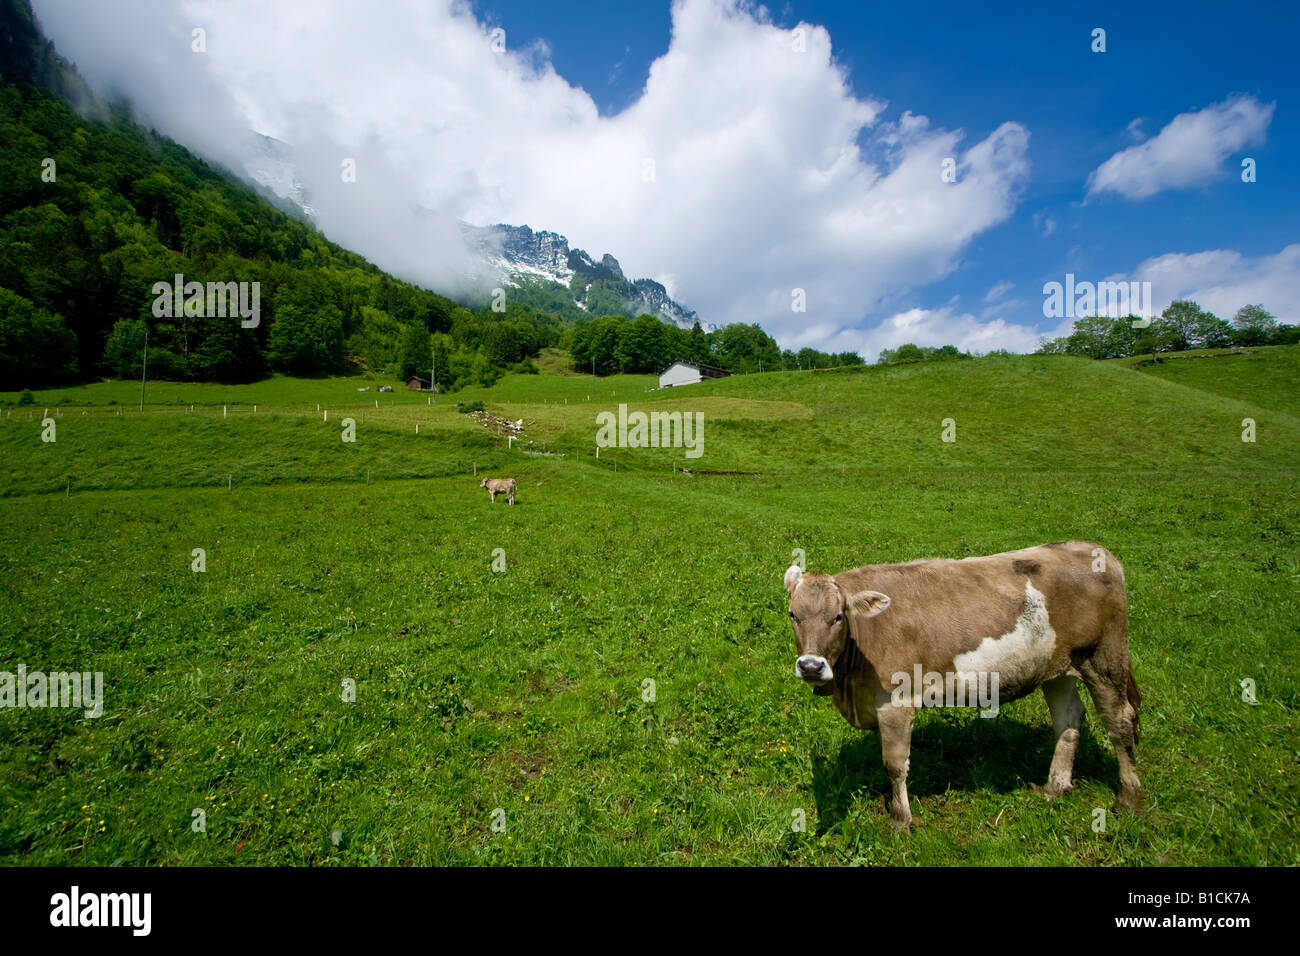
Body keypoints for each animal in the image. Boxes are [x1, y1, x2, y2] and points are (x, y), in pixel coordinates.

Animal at [785, 541, 1142, 829]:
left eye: (838, 617)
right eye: (793, 615)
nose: (811, 666)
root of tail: (1096, 550)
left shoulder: (897, 702)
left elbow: (895, 763)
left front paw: (901, 820)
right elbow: (883, 755)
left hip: (1104, 659)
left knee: (1120, 722)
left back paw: (1129, 798)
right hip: (1057, 667)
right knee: (1068, 718)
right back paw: (1054, 787)